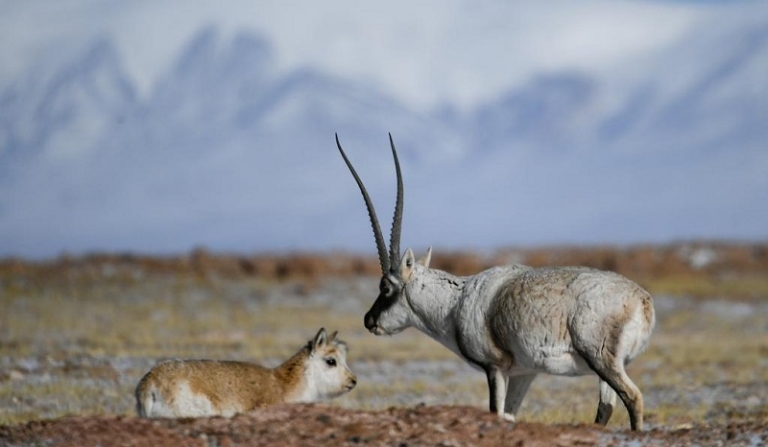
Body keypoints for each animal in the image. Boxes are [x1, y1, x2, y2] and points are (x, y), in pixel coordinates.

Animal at [335, 134, 655, 431]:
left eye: (386, 286)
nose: (369, 320)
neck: (456, 302)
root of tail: (642, 301)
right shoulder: (524, 373)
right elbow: (510, 416)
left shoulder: (495, 367)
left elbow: (495, 413)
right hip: (605, 370)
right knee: (606, 407)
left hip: (602, 362)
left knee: (634, 398)